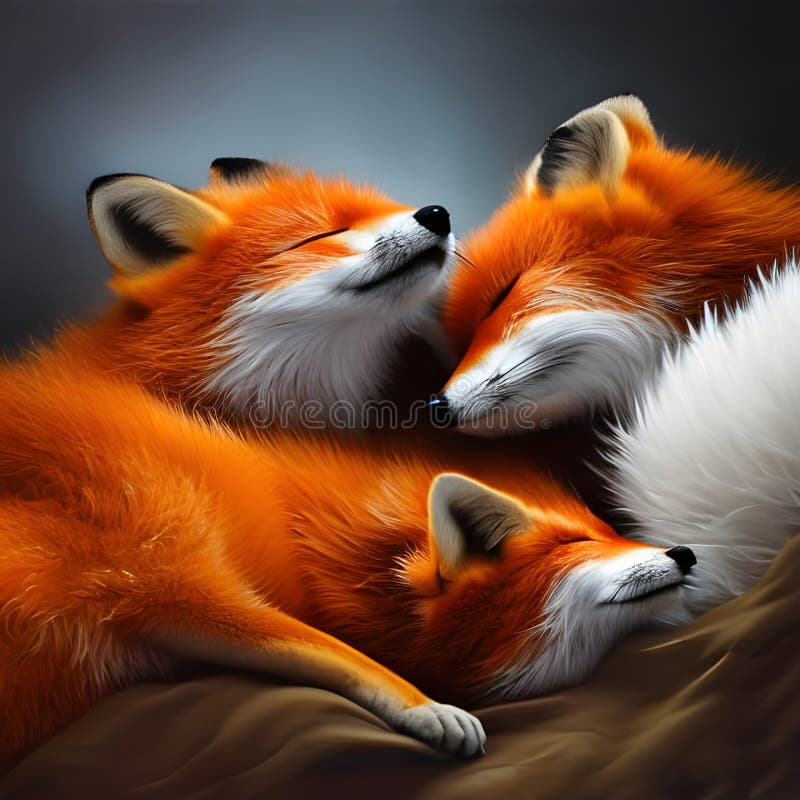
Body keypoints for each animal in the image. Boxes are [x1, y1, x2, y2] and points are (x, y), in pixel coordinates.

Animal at [0, 351, 695, 768]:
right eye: (576, 544)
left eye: (609, 529)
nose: (685, 552)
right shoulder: (159, 571)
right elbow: (335, 652)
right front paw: (431, 711)